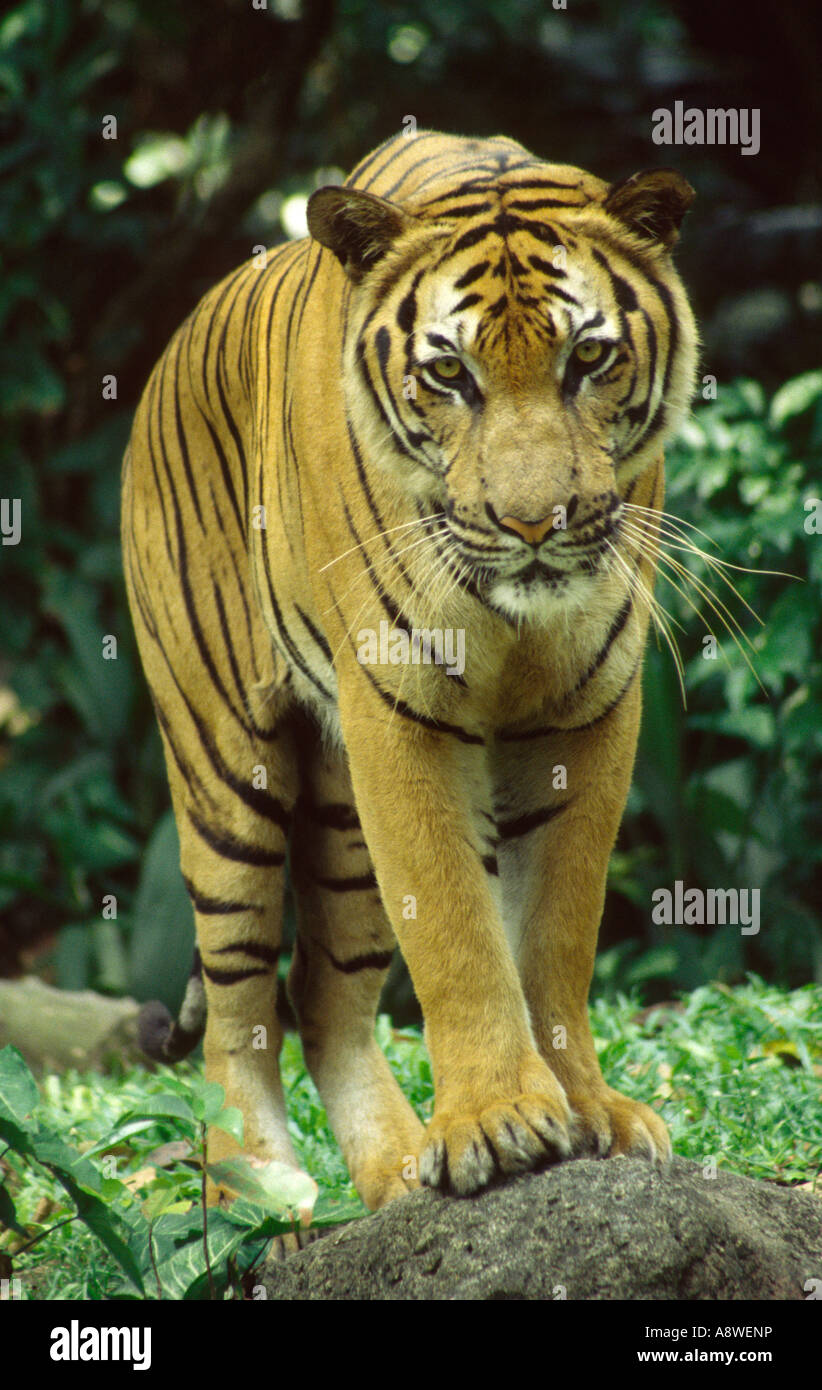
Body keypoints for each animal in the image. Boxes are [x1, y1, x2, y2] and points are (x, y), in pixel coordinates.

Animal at [121, 128, 698, 1212]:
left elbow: (557, 931)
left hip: (343, 817)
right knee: (237, 1008)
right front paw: (499, 1124)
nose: (534, 524)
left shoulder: (589, 709)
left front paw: (586, 1112)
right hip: (228, 771)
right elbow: (458, 931)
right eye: (450, 372)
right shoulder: (401, 712)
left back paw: (395, 1176)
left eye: (589, 356)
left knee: (321, 995)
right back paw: (267, 1201)